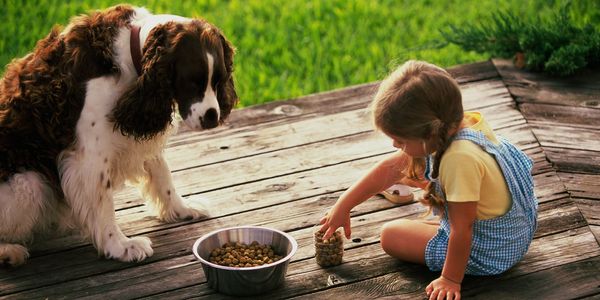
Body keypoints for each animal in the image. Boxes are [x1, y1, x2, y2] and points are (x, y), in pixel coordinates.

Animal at [0, 4, 238, 266]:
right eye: (192, 82)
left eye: (218, 80)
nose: (212, 116)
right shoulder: (89, 156)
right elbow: (103, 204)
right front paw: (120, 246)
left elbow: (163, 175)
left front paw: (182, 209)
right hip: (31, 184)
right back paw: (9, 251)